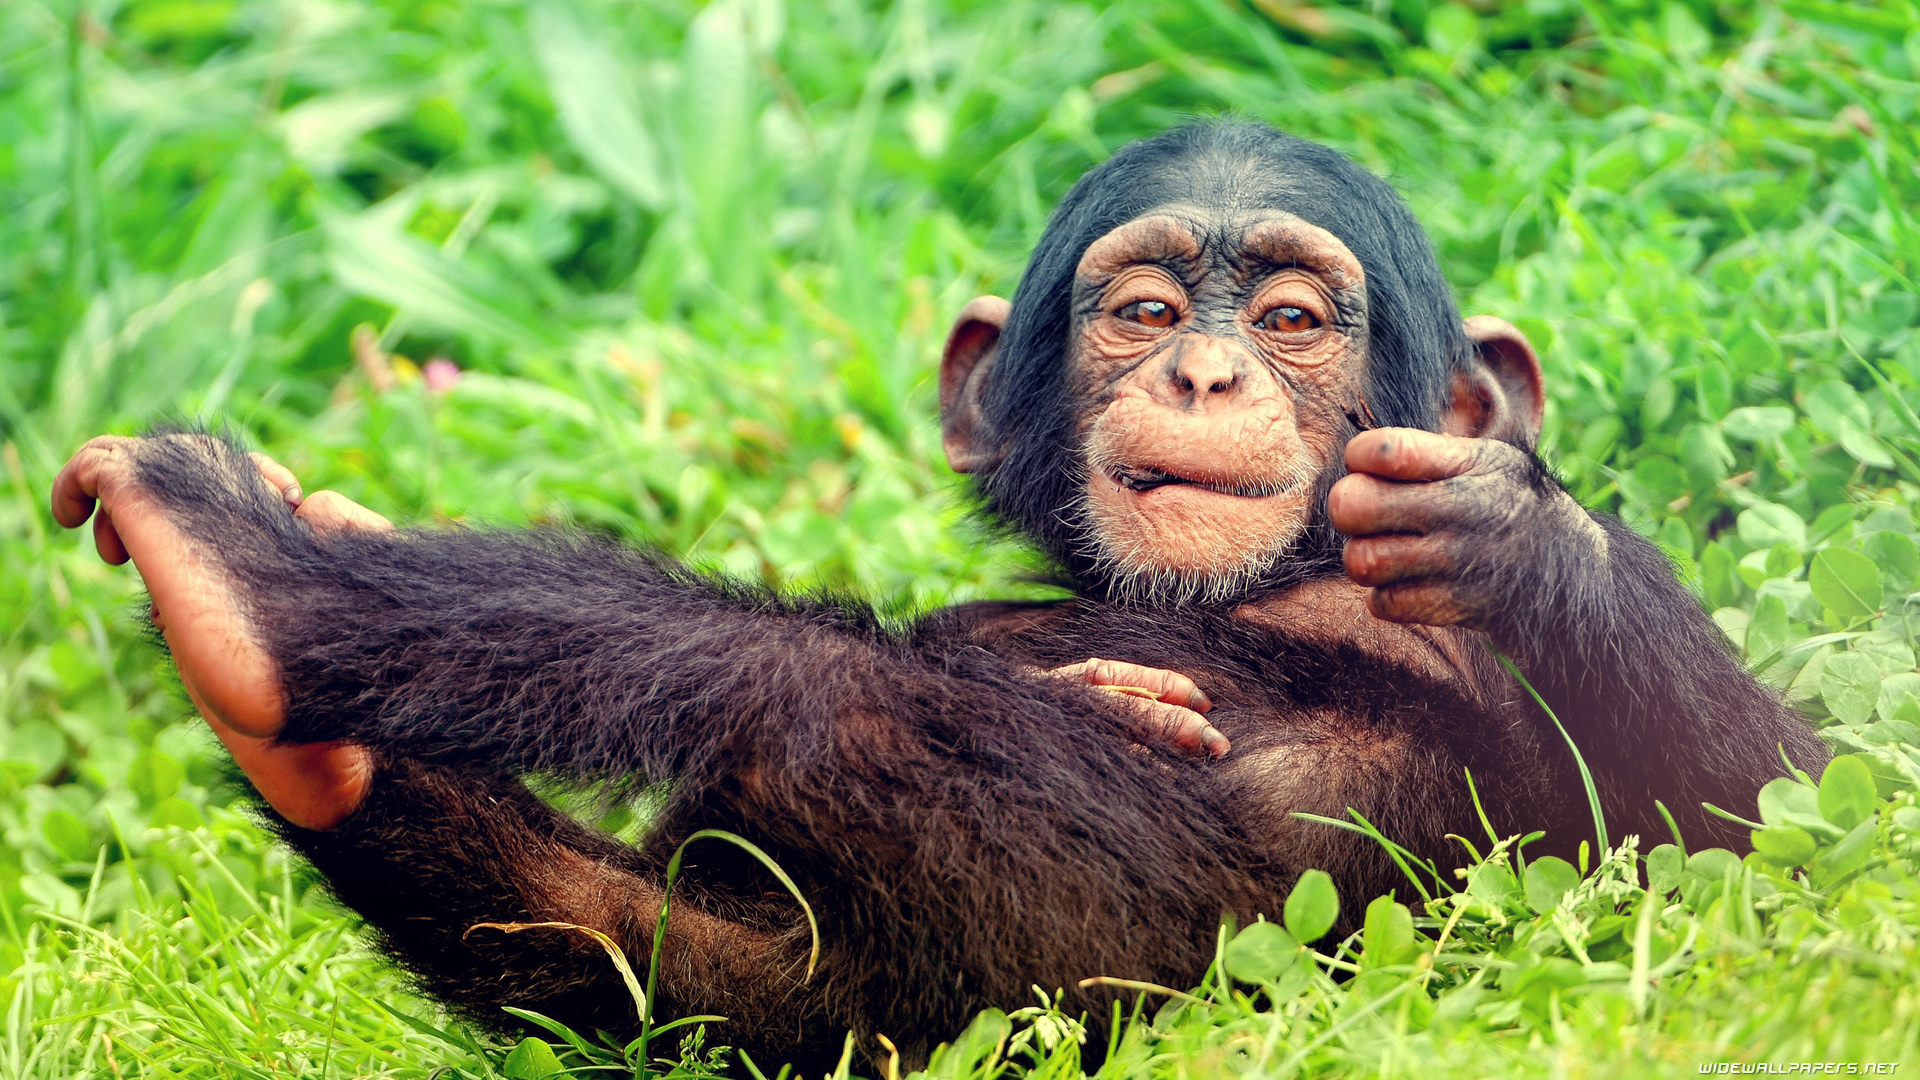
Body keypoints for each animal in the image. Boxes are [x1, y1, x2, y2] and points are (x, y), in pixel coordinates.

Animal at [52, 119, 1824, 1070]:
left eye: (1296, 318)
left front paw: (1517, 529)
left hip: (1114, 949)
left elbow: (1767, 816)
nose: (1205, 368)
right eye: (1147, 306)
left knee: (820, 697)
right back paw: (290, 701)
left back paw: (260, 587)